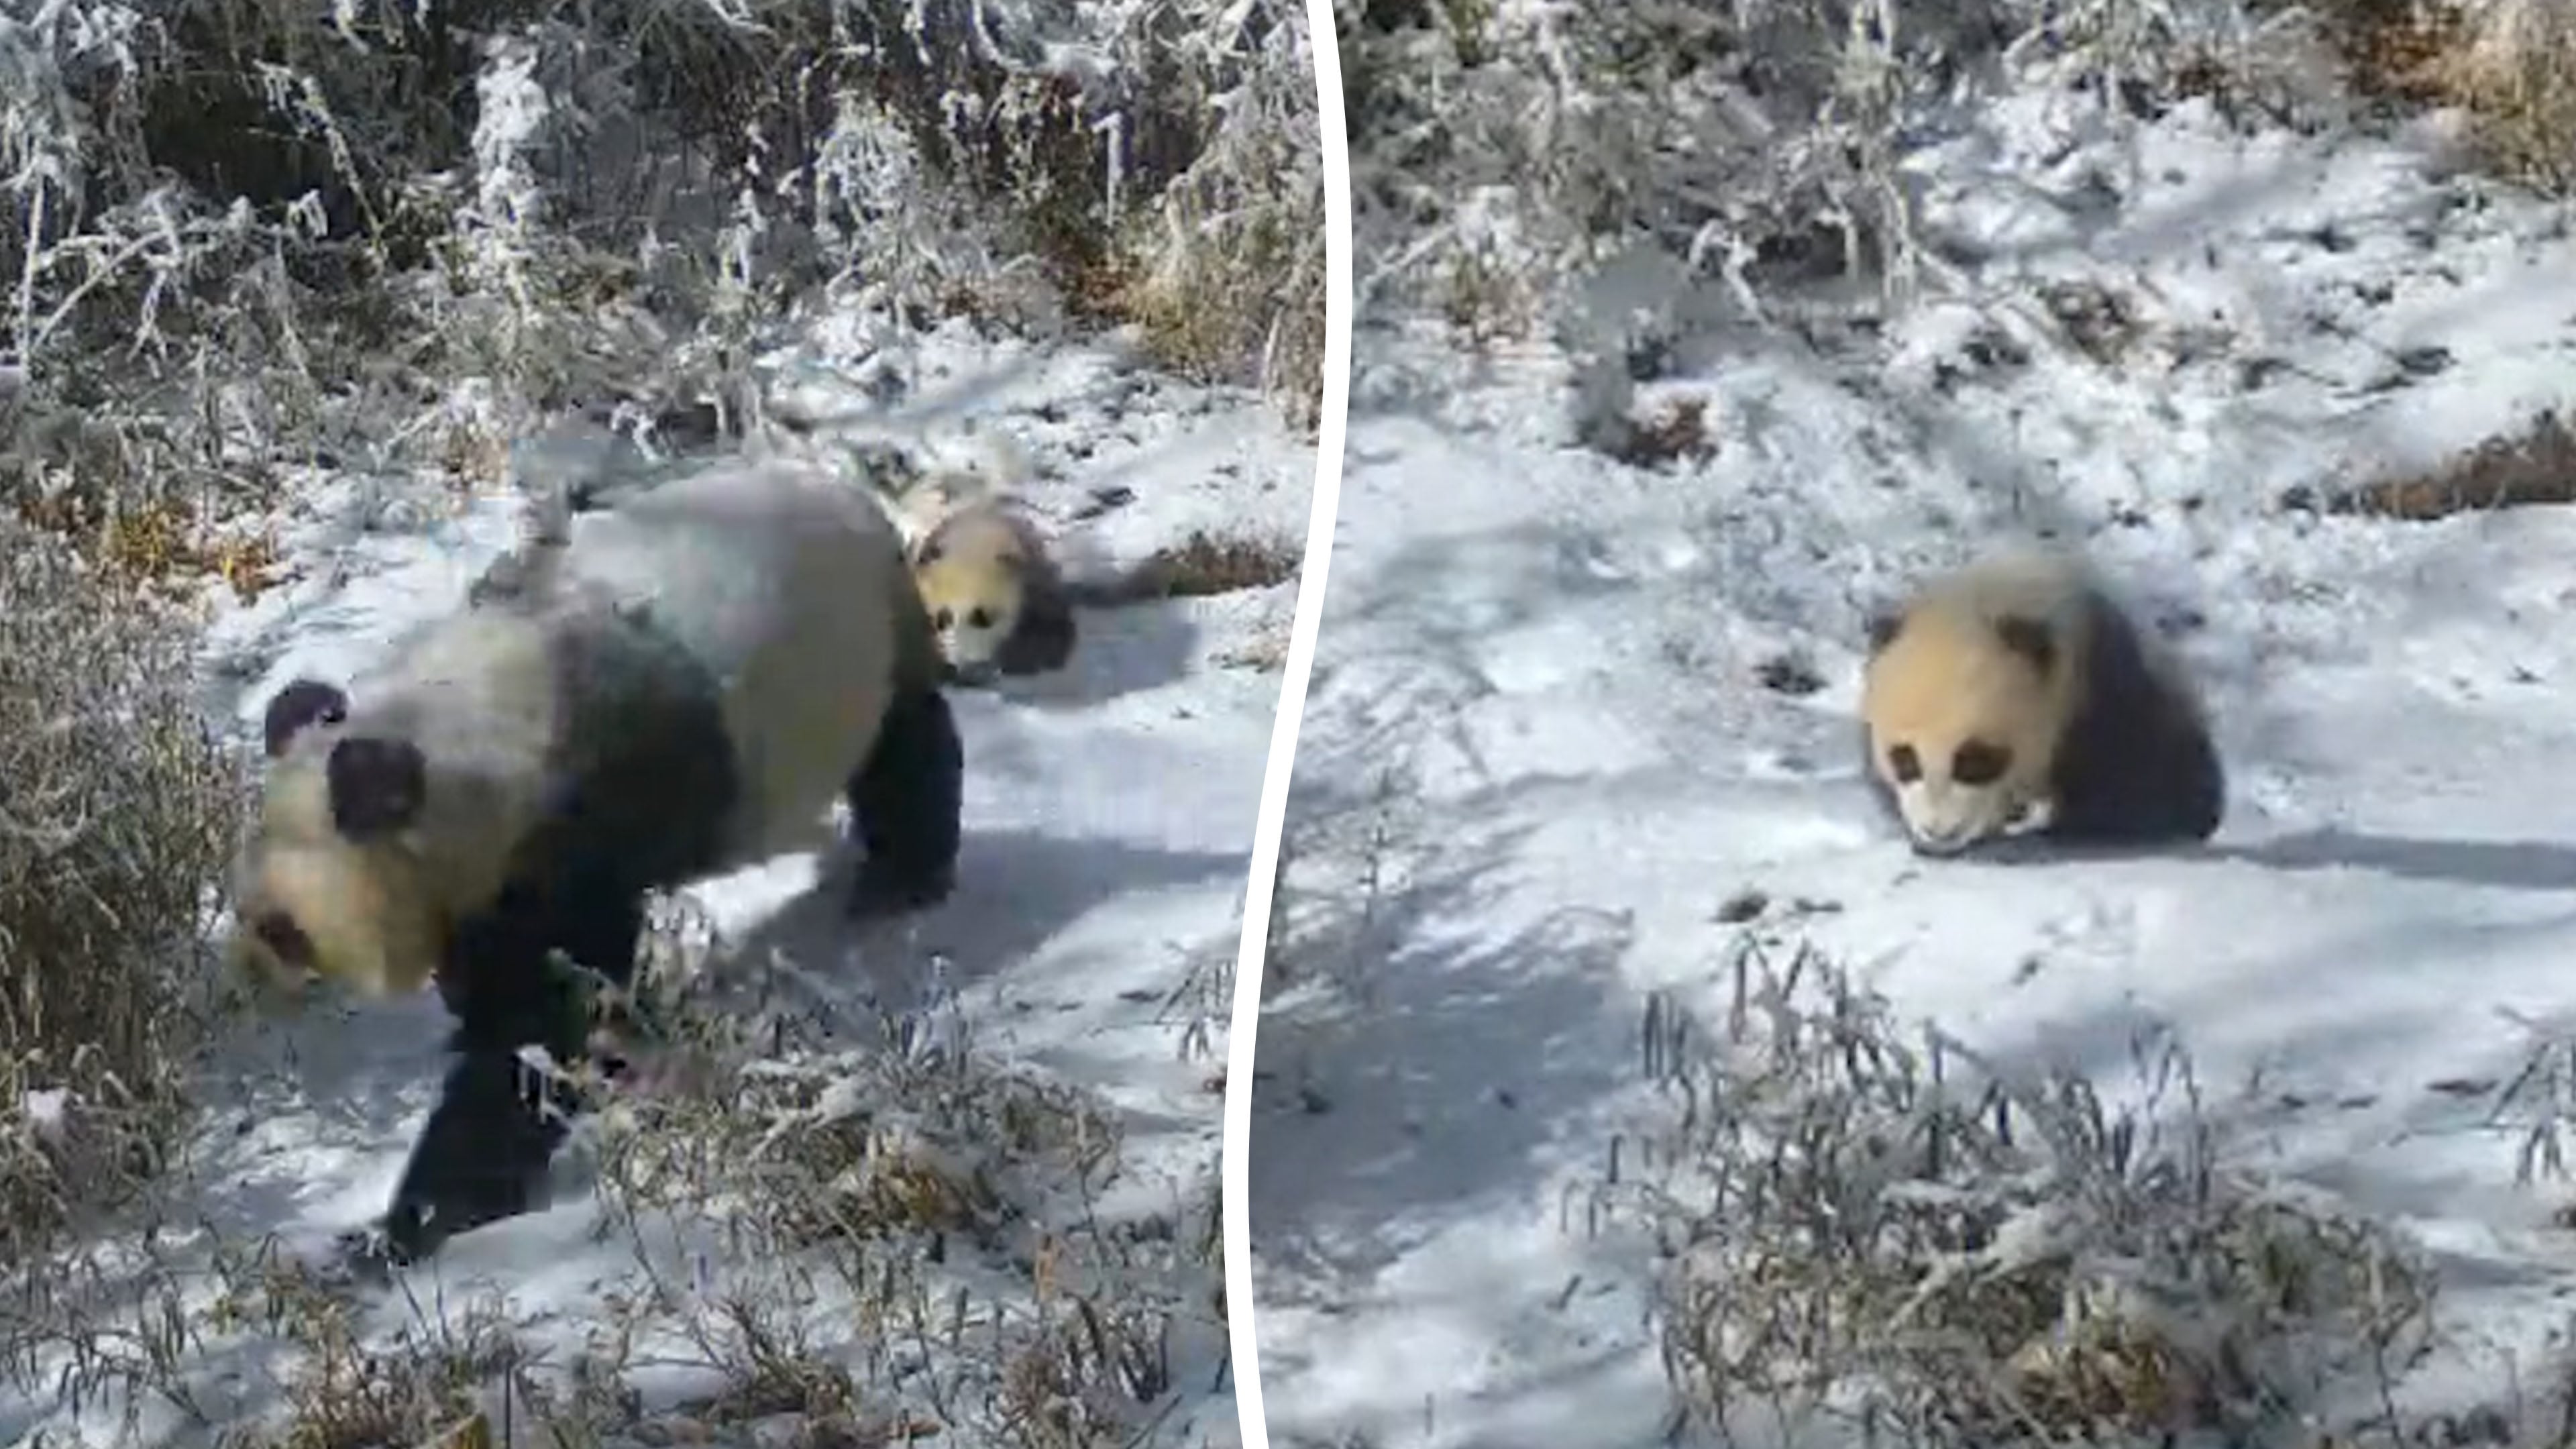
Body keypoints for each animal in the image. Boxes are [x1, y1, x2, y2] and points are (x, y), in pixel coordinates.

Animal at [229, 457, 963, 1264]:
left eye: (281, 928)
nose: (248, 976)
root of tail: (845, 492)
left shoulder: (577, 823)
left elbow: (545, 1026)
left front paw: (419, 1222)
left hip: (859, 648)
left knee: (906, 750)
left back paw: (900, 882)